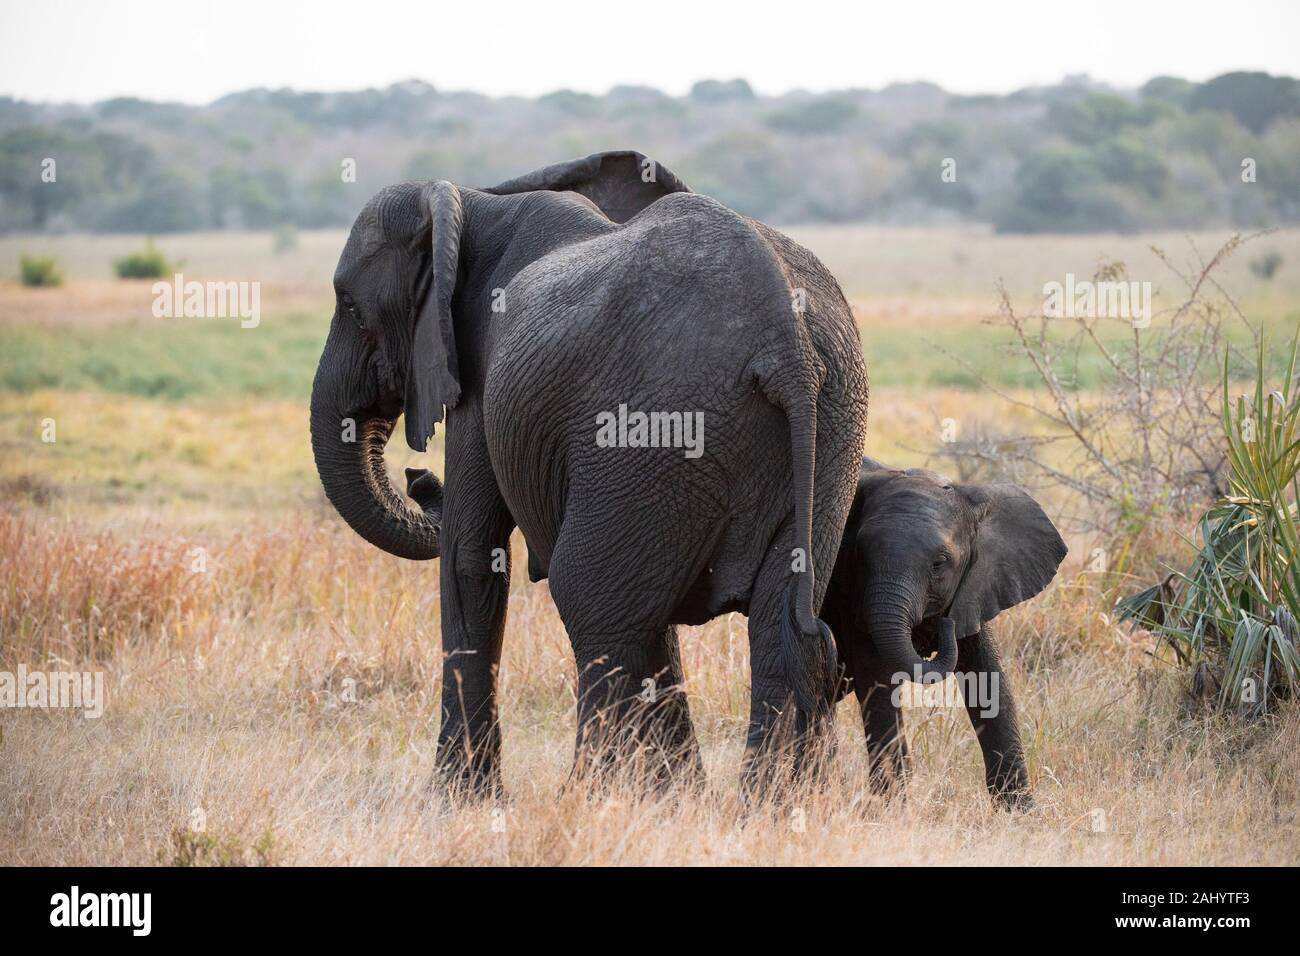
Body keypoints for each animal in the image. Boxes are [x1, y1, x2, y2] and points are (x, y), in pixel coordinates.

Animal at [309, 150, 869, 796]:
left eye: (351, 306)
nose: (418, 478)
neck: (473, 203)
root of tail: (787, 346)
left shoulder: (480, 377)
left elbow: (471, 555)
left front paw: (458, 802)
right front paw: (677, 797)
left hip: (654, 425)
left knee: (593, 607)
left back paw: (583, 798)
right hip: (830, 432)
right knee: (776, 628)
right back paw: (766, 806)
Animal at [820, 458, 1067, 808]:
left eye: (939, 564)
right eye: (859, 556)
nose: (942, 627)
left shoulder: (975, 585)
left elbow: (987, 676)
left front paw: (1021, 811)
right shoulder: (850, 594)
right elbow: (877, 681)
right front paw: (893, 809)